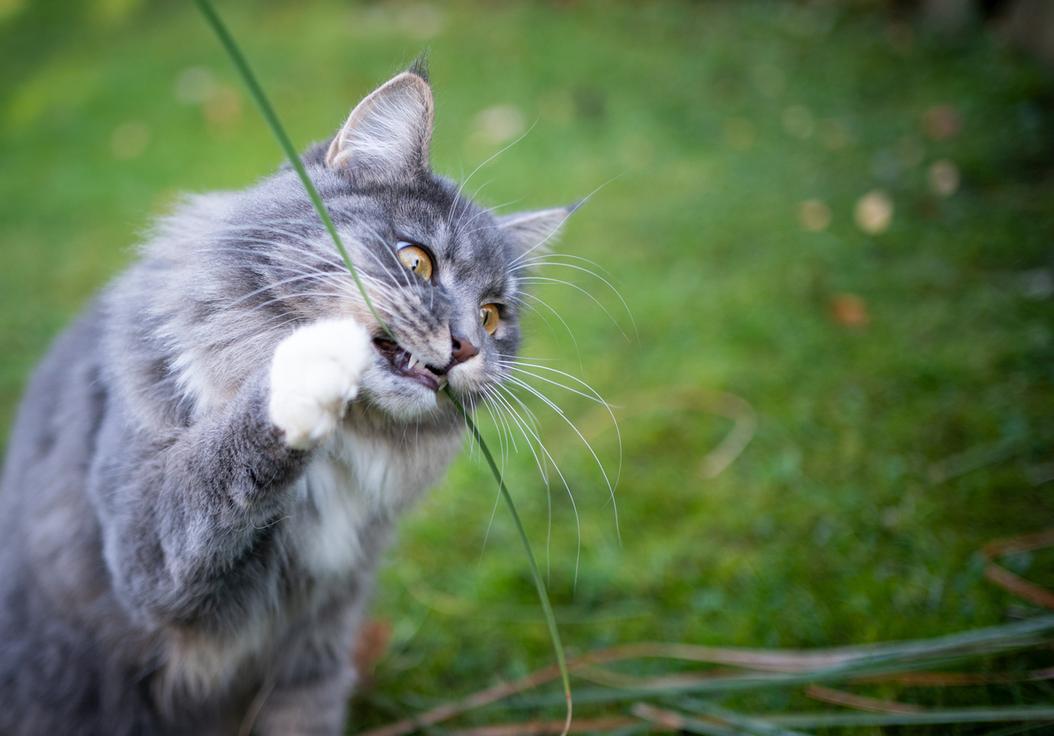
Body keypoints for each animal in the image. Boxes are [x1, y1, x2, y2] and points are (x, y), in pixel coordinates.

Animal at [0, 64, 569, 733]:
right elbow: (213, 473)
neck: (350, 445)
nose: (465, 347)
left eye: (492, 316)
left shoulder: (316, 641)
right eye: (417, 261)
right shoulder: (144, 560)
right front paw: (313, 363)